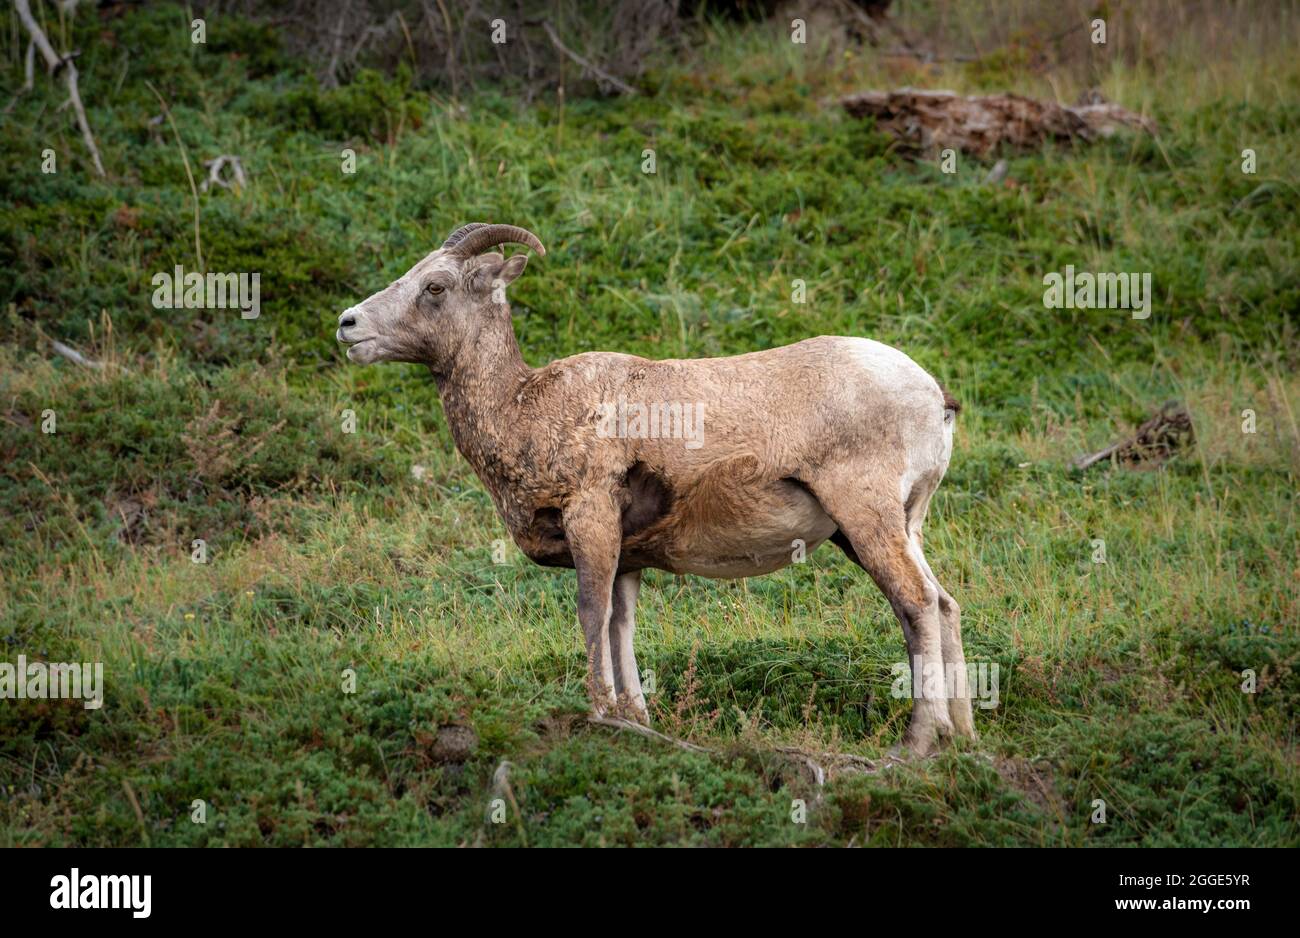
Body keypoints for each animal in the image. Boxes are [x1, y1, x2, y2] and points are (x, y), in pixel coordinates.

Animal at [336, 223, 972, 755]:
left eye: (435, 286)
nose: (349, 324)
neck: (523, 411)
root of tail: (932, 394)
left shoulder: (591, 521)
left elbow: (591, 614)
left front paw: (600, 714)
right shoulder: (629, 558)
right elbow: (622, 627)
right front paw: (635, 718)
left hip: (866, 516)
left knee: (915, 602)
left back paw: (916, 744)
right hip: (898, 524)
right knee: (943, 603)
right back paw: (962, 736)